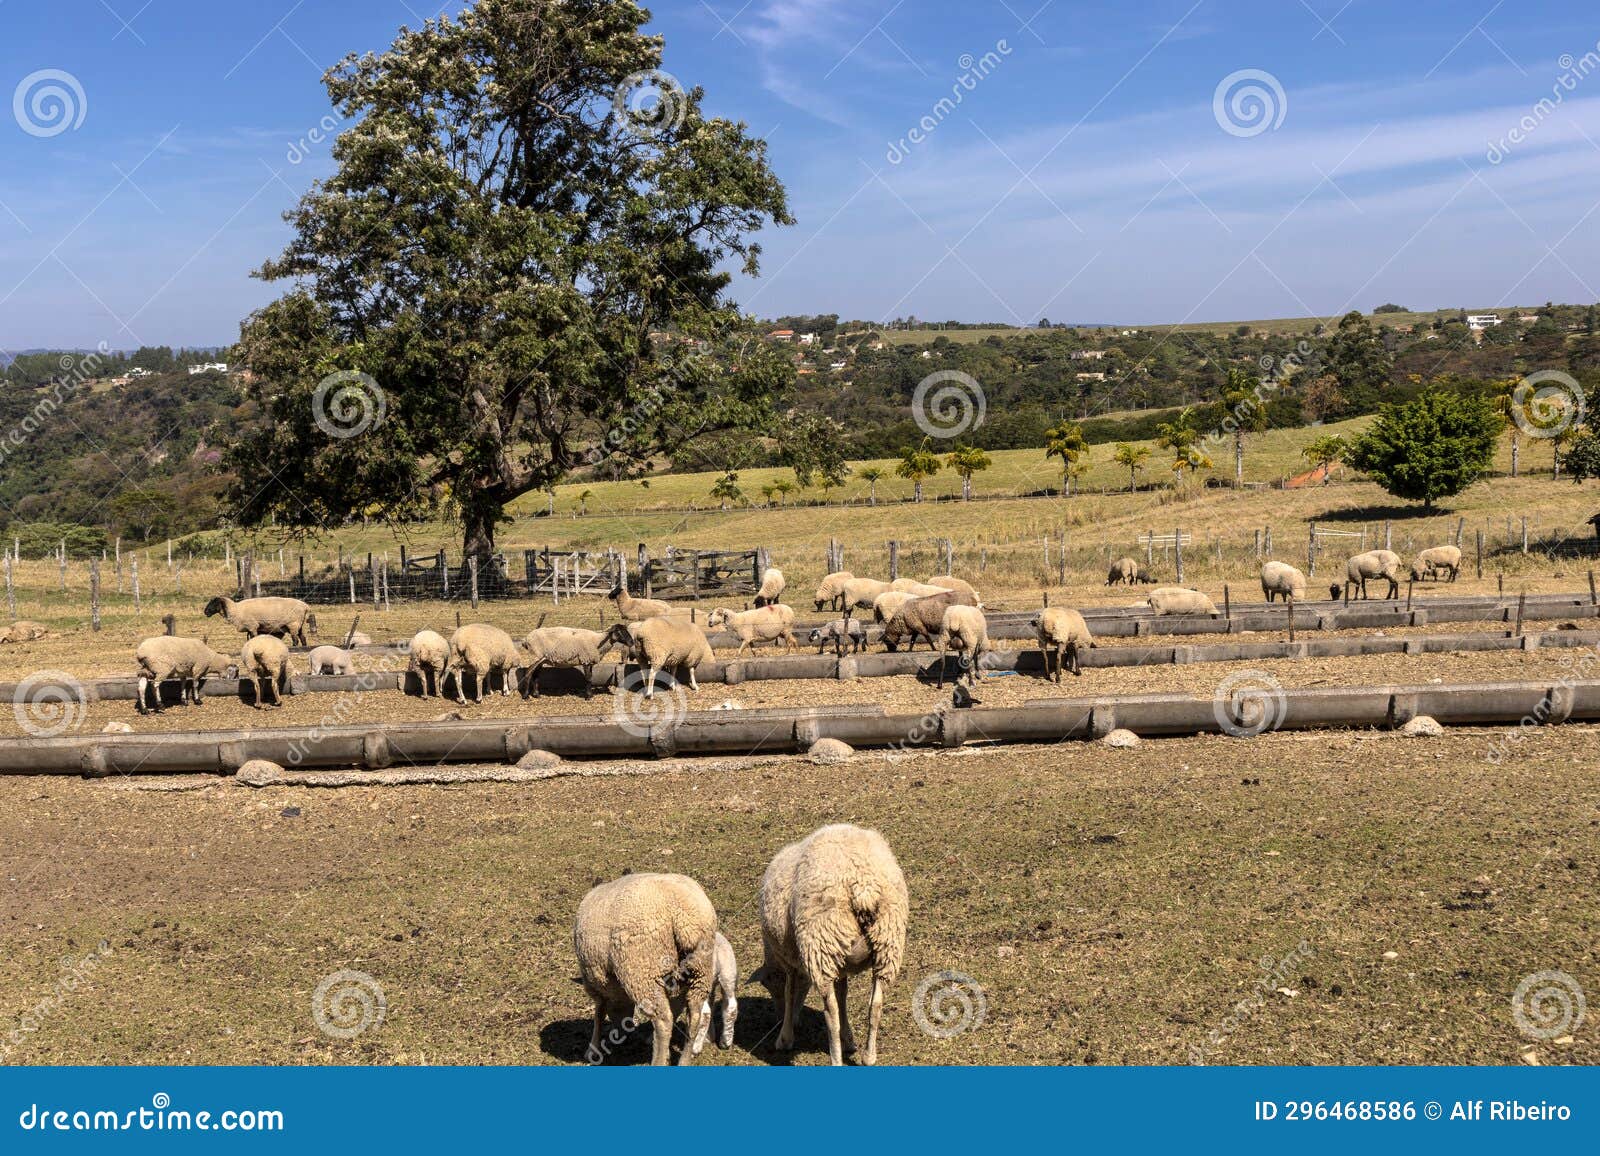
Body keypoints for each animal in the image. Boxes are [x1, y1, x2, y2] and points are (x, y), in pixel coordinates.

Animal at [574, 872, 718, 1066]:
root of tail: (683, 915)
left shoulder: (594, 980)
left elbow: (599, 1013)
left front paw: (592, 1050)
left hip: (643, 970)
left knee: (663, 1020)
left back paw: (658, 1061)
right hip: (700, 971)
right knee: (694, 1015)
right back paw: (684, 1060)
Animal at [755, 823, 909, 1066]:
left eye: (767, 984)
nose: (778, 1019)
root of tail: (863, 884)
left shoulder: (789, 962)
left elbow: (790, 991)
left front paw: (785, 1037)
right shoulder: (841, 964)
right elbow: (843, 992)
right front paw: (849, 1040)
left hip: (820, 943)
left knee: (831, 1013)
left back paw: (835, 1058)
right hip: (887, 943)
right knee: (875, 1004)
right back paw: (869, 1056)